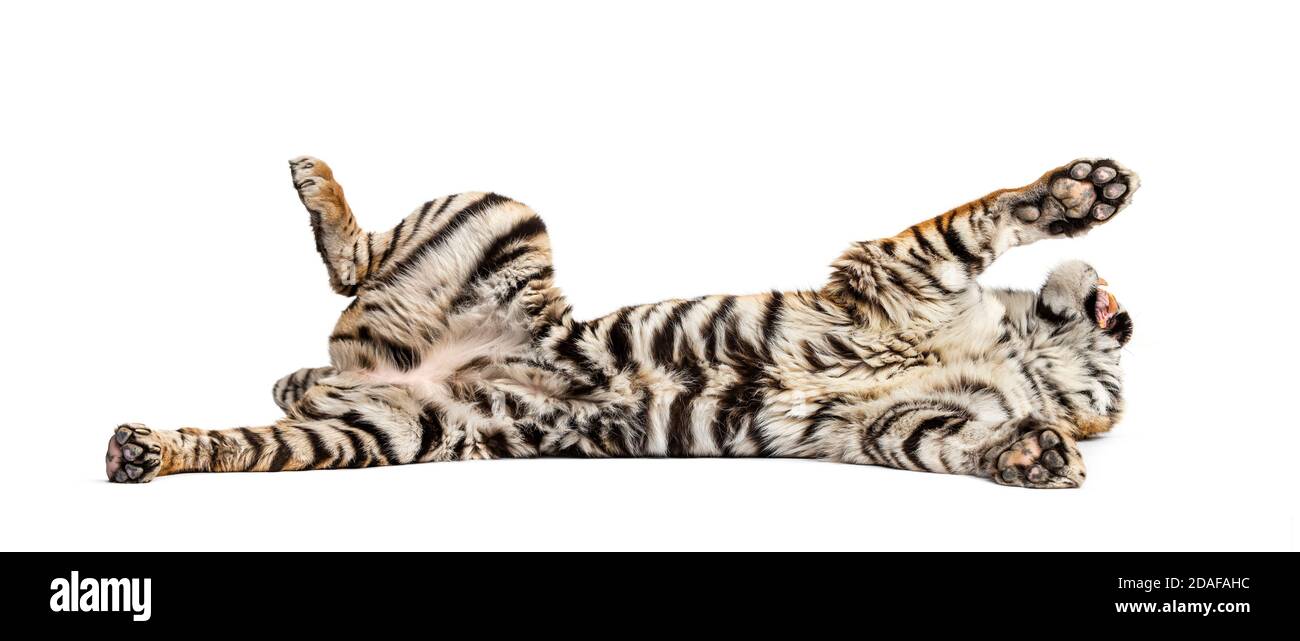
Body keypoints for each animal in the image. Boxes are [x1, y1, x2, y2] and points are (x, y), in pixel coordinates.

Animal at [105, 156, 1137, 488]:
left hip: (384, 432)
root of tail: (364, 364)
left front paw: (1031, 451)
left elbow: (956, 437)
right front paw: (1085, 193)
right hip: (506, 211)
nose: (1123, 316)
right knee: (348, 256)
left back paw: (145, 448)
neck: (1008, 362)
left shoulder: (881, 424)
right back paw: (316, 184)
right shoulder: (907, 267)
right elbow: (998, 212)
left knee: (242, 437)